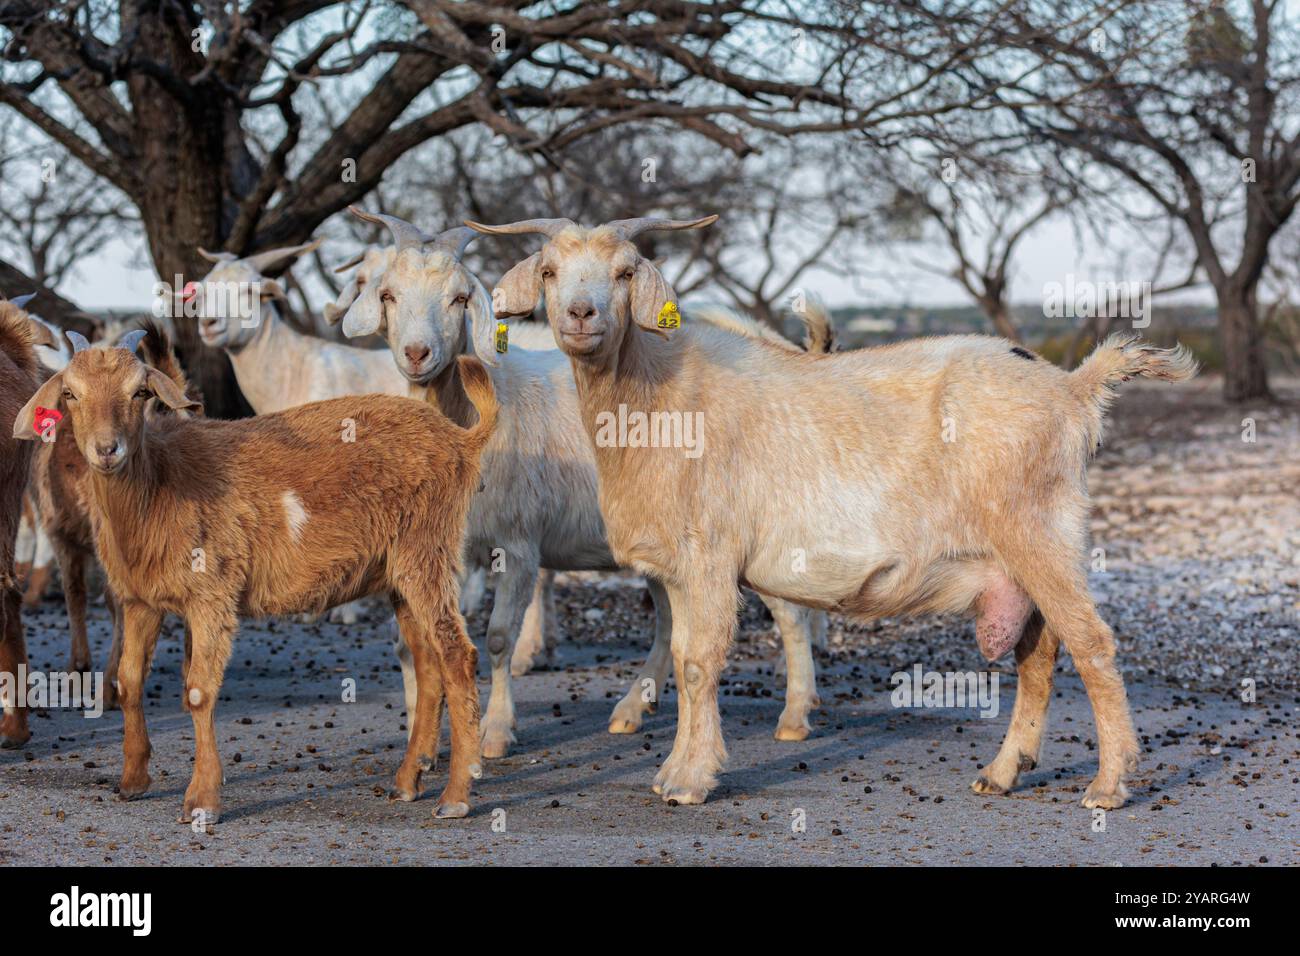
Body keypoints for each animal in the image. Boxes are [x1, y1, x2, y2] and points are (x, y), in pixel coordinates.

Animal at [13, 340, 498, 822]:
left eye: (139, 393)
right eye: (70, 394)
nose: (107, 449)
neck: (159, 484)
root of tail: (461, 440)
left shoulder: (212, 594)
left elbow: (198, 691)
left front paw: (202, 799)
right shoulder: (139, 601)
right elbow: (130, 682)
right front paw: (132, 781)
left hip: (427, 548)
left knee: (457, 654)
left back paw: (456, 795)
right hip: (399, 571)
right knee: (428, 662)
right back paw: (407, 781)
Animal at [340, 208, 824, 757]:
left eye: (459, 299)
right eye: (388, 295)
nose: (418, 353)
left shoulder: (518, 543)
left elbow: (500, 637)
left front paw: (495, 731)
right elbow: (412, 641)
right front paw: (422, 735)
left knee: (788, 614)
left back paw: (795, 713)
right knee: (668, 619)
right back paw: (632, 709)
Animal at [471, 214, 1196, 809]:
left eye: (624, 272)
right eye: (549, 270)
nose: (580, 314)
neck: (655, 395)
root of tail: (1074, 387)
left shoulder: (708, 558)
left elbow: (700, 661)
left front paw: (689, 780)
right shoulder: (674, 570)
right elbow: (678, 656)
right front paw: (677, 766)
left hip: (1041, 535)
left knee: (1092, 643)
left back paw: (1109, 783)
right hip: (1014, 560)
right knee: (1038, 655)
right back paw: (1003, 771)